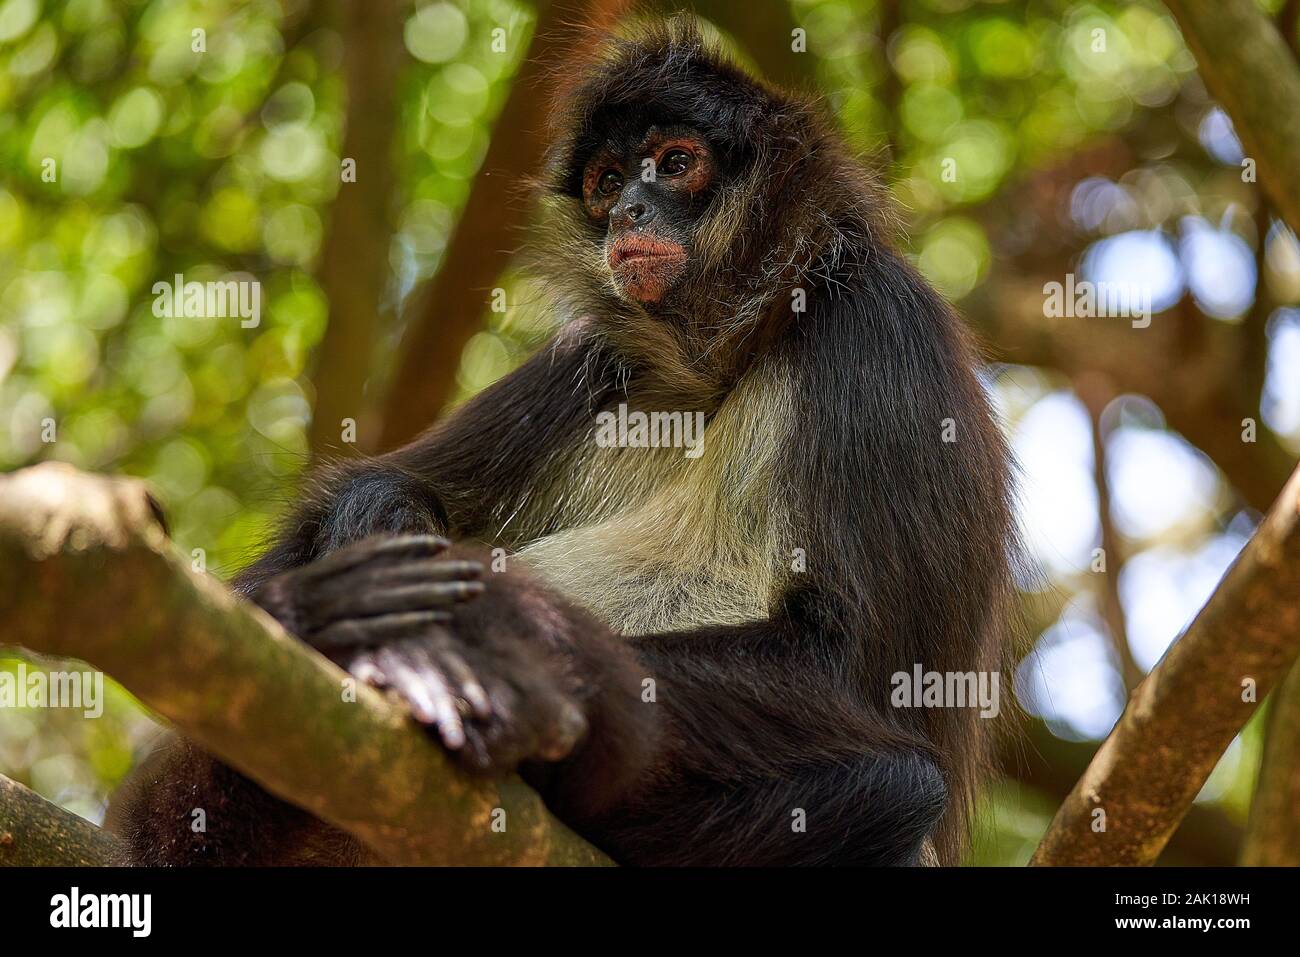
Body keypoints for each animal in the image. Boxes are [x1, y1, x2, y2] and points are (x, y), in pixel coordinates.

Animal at [109, 16, 1016, 867]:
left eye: (675, 162)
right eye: (606, 182)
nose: (629, 211)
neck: (722, 364)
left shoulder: (878, 322)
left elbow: (859, 673)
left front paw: (519, 652)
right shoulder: (592, 357)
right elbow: (296, 554)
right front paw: (353, 569)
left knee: (900, 786)